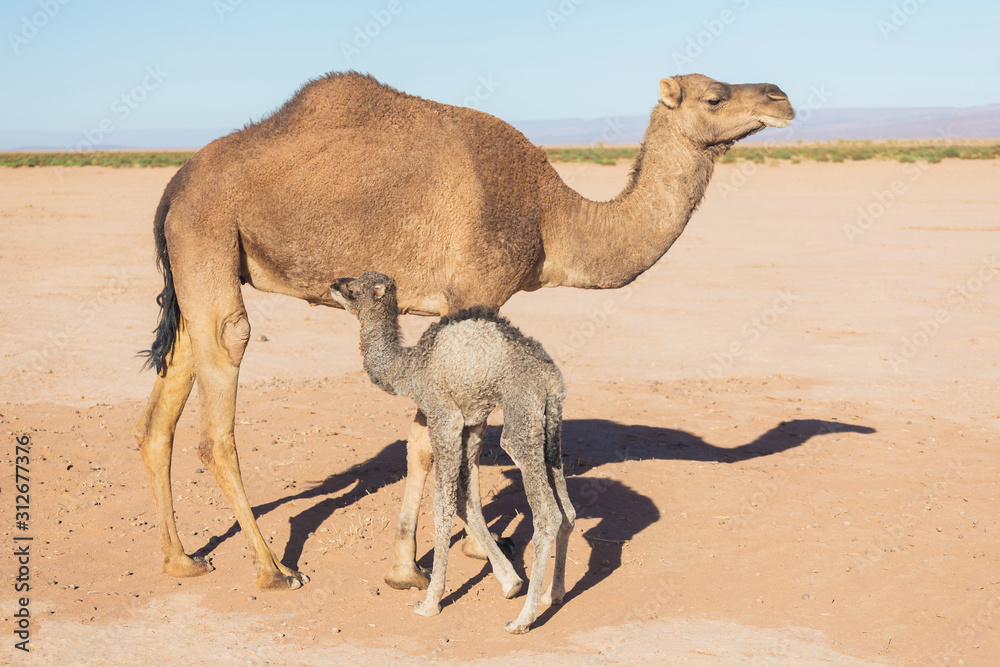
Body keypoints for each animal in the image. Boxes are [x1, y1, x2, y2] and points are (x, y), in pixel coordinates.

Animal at [134, 71, 794, 591]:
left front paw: (428, 558)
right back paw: (272, 569)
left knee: (166, 398)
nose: (781, 97)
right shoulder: (474, 290)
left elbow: (432, 437)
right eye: (714, 97)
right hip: (210, 231)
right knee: (223, 376)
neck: (551, 218)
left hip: (200, 261)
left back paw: (180, 559)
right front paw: (441, 561)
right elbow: (443, 438)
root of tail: (172, 187)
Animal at [330, 272, 573, 633]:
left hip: (521, 415)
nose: (333, 284)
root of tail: (550, 376)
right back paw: (553, 595)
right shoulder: (470, 423)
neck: (409, 368)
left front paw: (430, 601)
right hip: (551, 424)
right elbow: (465, 501)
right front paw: (509, 581)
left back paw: (522, 619)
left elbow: (443, 507)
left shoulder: (443, 417)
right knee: (568, 511)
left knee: (547, 514)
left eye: (354, 288)